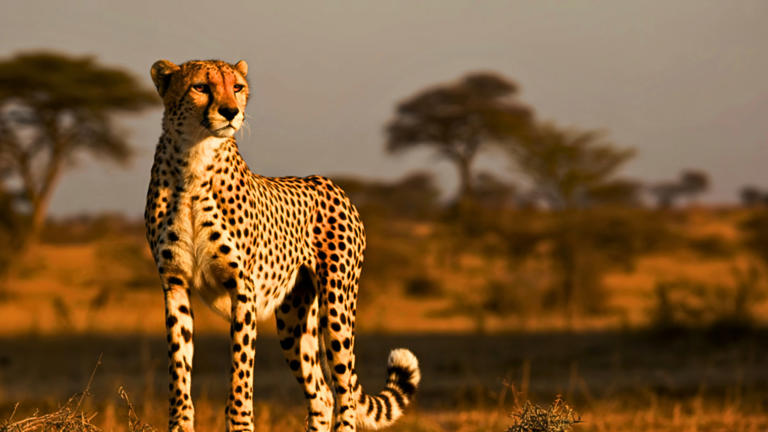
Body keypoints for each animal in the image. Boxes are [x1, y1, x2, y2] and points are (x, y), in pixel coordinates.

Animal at [144, 58, 420, 432]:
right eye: (201, 87)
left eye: (237, 87)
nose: (230, 112)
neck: (194, 158)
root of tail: (328, 182)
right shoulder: (174, 285)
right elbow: (179, 369)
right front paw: (180, 422)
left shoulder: (243, 288)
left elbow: (241, 373)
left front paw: (241, 423)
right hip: (294, 319)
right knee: (322, 394)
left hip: (337, 305)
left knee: (344, 392)